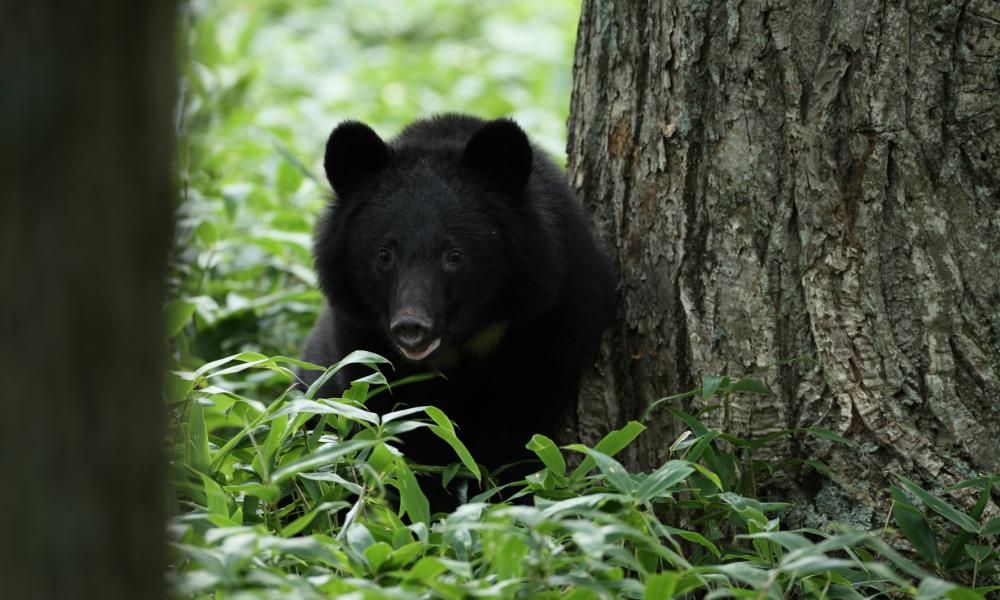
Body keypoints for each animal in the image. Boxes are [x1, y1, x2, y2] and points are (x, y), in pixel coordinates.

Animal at [300, 113, 614, 509]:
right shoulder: (360, 335)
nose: (411, 328)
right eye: (384, 254)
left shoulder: (551, 321)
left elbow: (519, 435)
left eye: (454, 255)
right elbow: (397, 425)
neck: (464, 341)